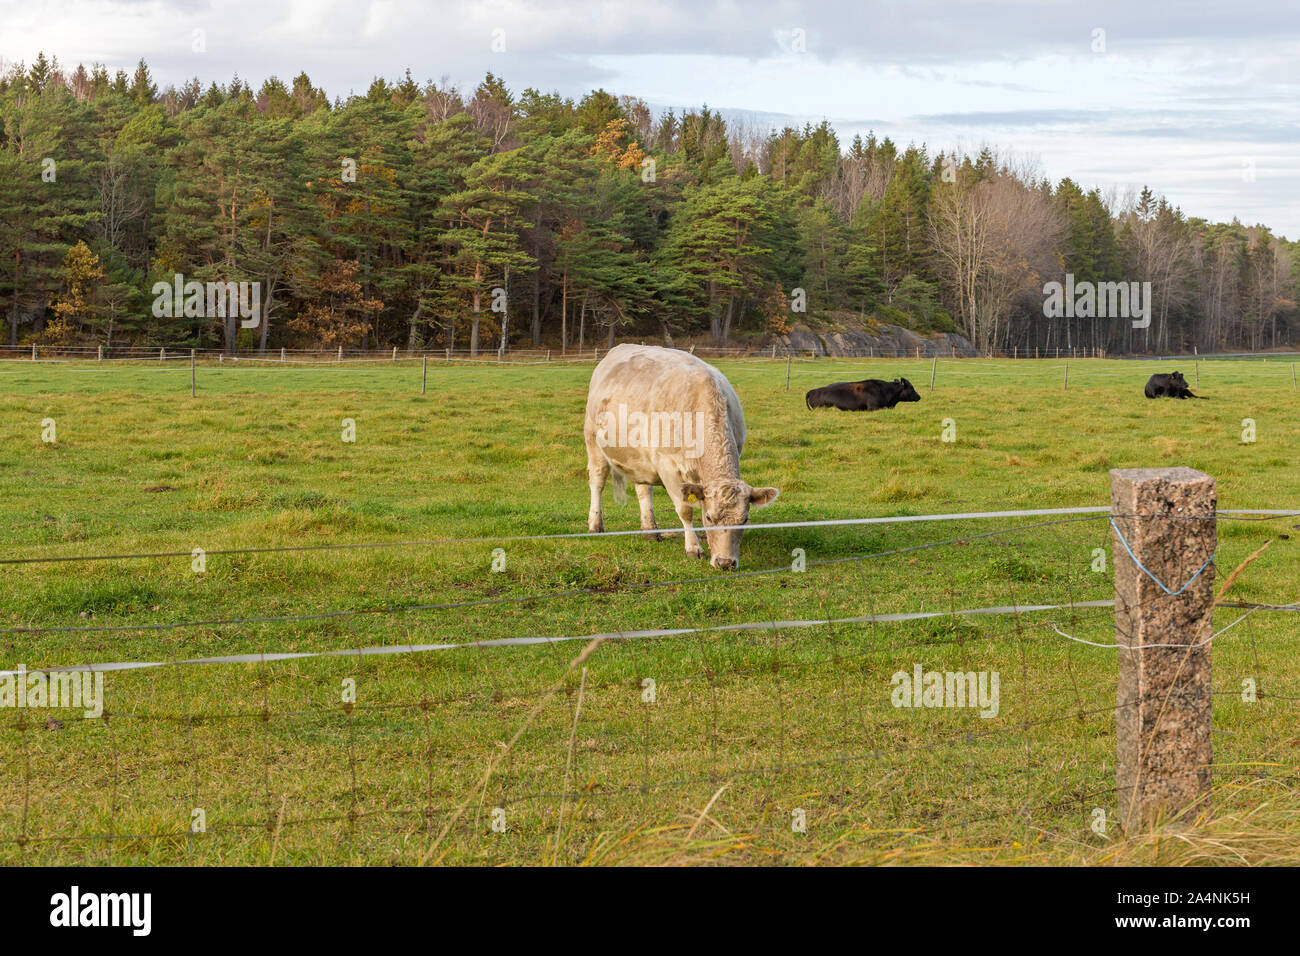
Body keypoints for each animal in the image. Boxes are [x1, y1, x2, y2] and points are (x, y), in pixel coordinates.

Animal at [584, 344, 779, 570]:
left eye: (745, 519)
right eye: (709, 517)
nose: (725, 562)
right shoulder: (668, 468)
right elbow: (685, 510)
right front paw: (693, 548)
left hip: (639, 457)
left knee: (643, 490)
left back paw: (650, 529)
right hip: (593, 440)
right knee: (597, 482)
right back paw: (595, 525)